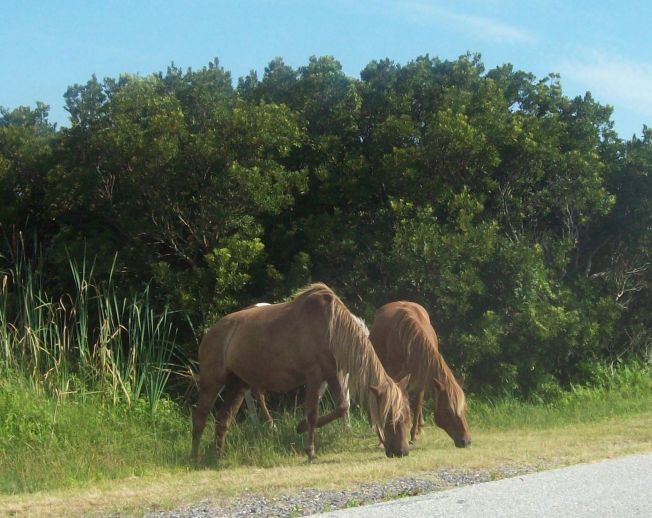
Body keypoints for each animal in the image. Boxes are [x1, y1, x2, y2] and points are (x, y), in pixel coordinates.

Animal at [192, 283, 412, 462]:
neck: (331, 329)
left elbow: (341, 408)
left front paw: (300, 426)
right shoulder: (313, 376)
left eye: (406, 415)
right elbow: (313, 413)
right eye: (391, 416)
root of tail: (209, 333)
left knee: (223, 420)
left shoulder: (333, 374)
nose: (402, 451)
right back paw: (196, 458)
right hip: (212, 382)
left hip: (238, 384)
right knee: (200, 417)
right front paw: (310, 450)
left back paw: (218, 457)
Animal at [369, 301, 471, 447]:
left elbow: (417, 405)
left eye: (464, 408)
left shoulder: (422, 378)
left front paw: (413, 435)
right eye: (448, 410)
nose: (466, 441)